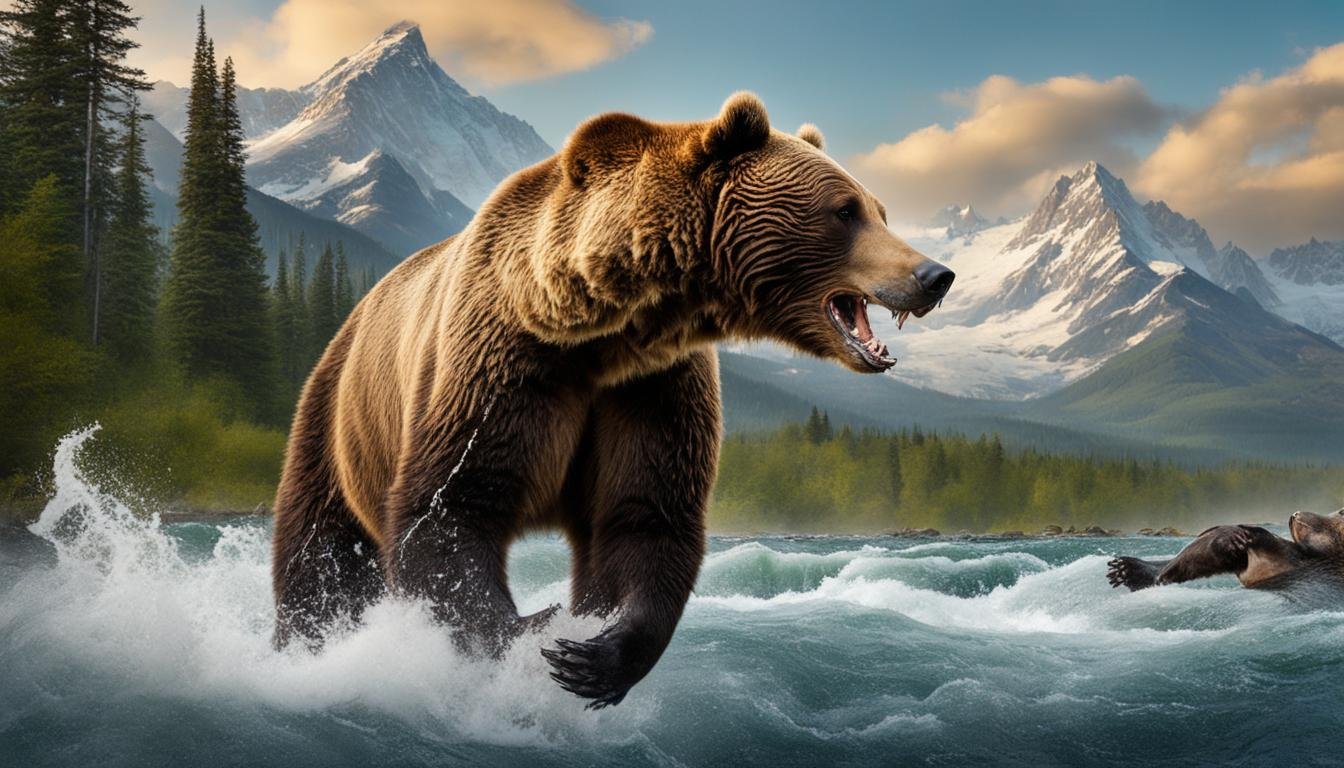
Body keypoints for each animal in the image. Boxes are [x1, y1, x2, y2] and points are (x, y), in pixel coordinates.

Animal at [269, 92, 956, 708]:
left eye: (881, 210)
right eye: (845, 211)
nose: (935, 275)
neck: (601, 327)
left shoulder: (651, 387)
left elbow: (646, 514)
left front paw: (595, 654)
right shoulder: (499, 364)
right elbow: (451, 506)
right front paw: (527, 629)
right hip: (336, 417)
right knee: (318, 554)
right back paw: (306, 647)